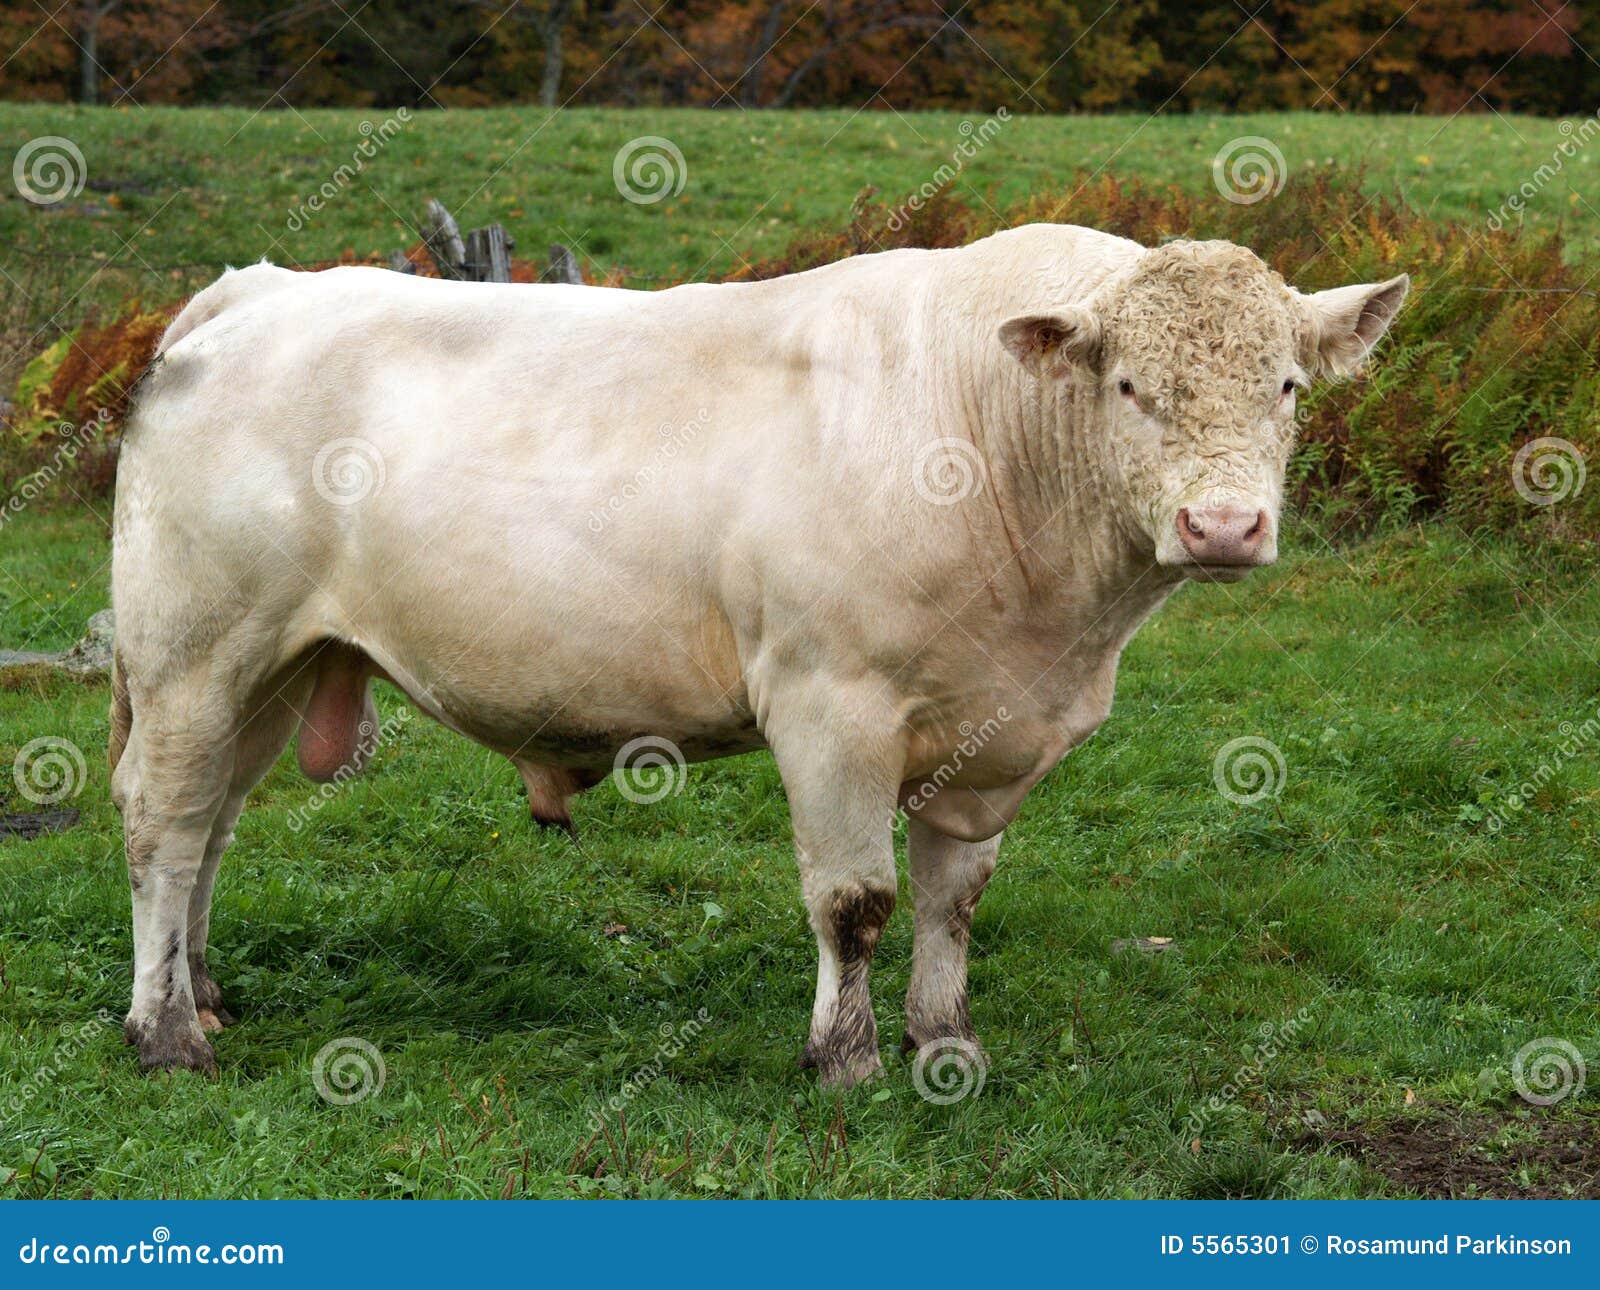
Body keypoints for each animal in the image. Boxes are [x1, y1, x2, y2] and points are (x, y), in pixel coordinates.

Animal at [108, 224, 1407, 1086]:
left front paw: (946, 1040)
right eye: (1131, 387)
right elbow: (855, 900)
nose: (1224, 527)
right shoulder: (834, 707)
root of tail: (258, 289)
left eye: (1287, 386)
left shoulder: (988, 732)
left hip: (275, 668)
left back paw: (203, 993)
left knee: (215, 824)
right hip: (194, 651)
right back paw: (163, 1032)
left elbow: (955, 896)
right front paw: (847, 1057)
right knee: (165, 823)